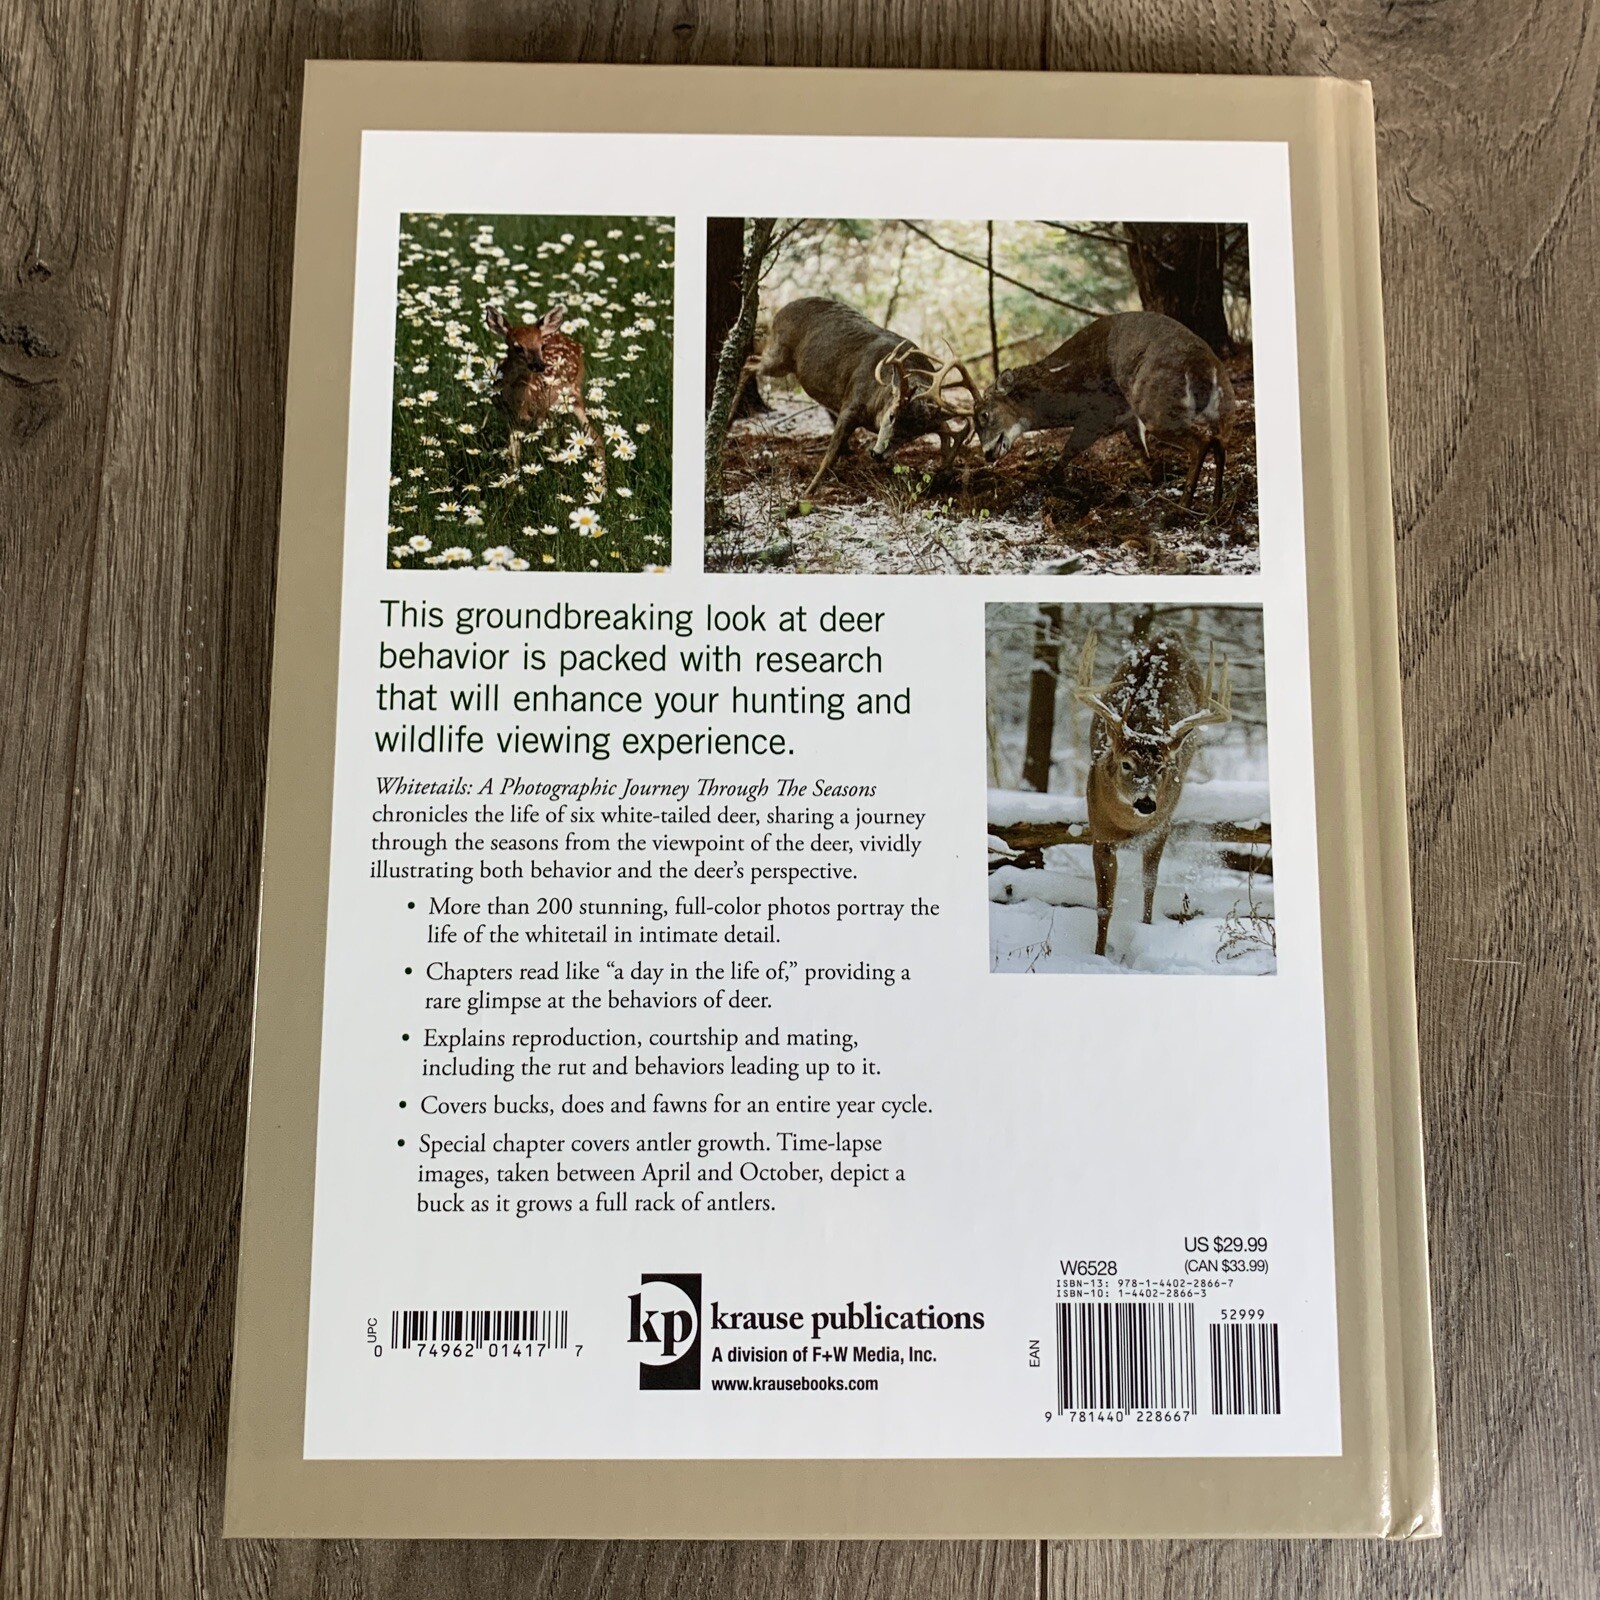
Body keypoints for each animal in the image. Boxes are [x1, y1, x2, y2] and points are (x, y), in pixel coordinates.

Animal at [483, 304, 603, 472]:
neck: (521, 404)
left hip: (574, 395)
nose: (539, 365)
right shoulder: (512, 421)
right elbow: (513, 460)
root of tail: (577, 345)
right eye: (518, 347)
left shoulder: (541, 415)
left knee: (596, 439)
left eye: (542, 346)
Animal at [735, 297, 979, 497]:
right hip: (780, 355)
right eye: (892, 415)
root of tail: (780, 311)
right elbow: (829, 456)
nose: (878, 453)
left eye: (911, 434)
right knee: (749, 363)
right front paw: (805, 495)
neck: (875, 404)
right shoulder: (851, 404)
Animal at [973, 312, 1236, 510]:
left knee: (1201, 442)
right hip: (1223, 406)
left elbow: (1068, 452)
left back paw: (1183, 506)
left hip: (1156, 407)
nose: (987, 454)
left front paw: (1054, 483)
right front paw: (1151, 478)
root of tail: (1202, 365)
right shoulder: (1129, 418)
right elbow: (1142, 453)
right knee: (1220, 442)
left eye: (984, 414)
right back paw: (1215, 505)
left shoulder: (1097, 414)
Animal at [1072, 627, 1232, 957]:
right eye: (1126, 763)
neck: (1128, 827)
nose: (1146, 803)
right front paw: (1098, 954)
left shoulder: (1161, 828)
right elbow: (1104, 905)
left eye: (1162, 768)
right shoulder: (1100, 835)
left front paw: (1146, 927)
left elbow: (1149, 885)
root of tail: (1167, 636)